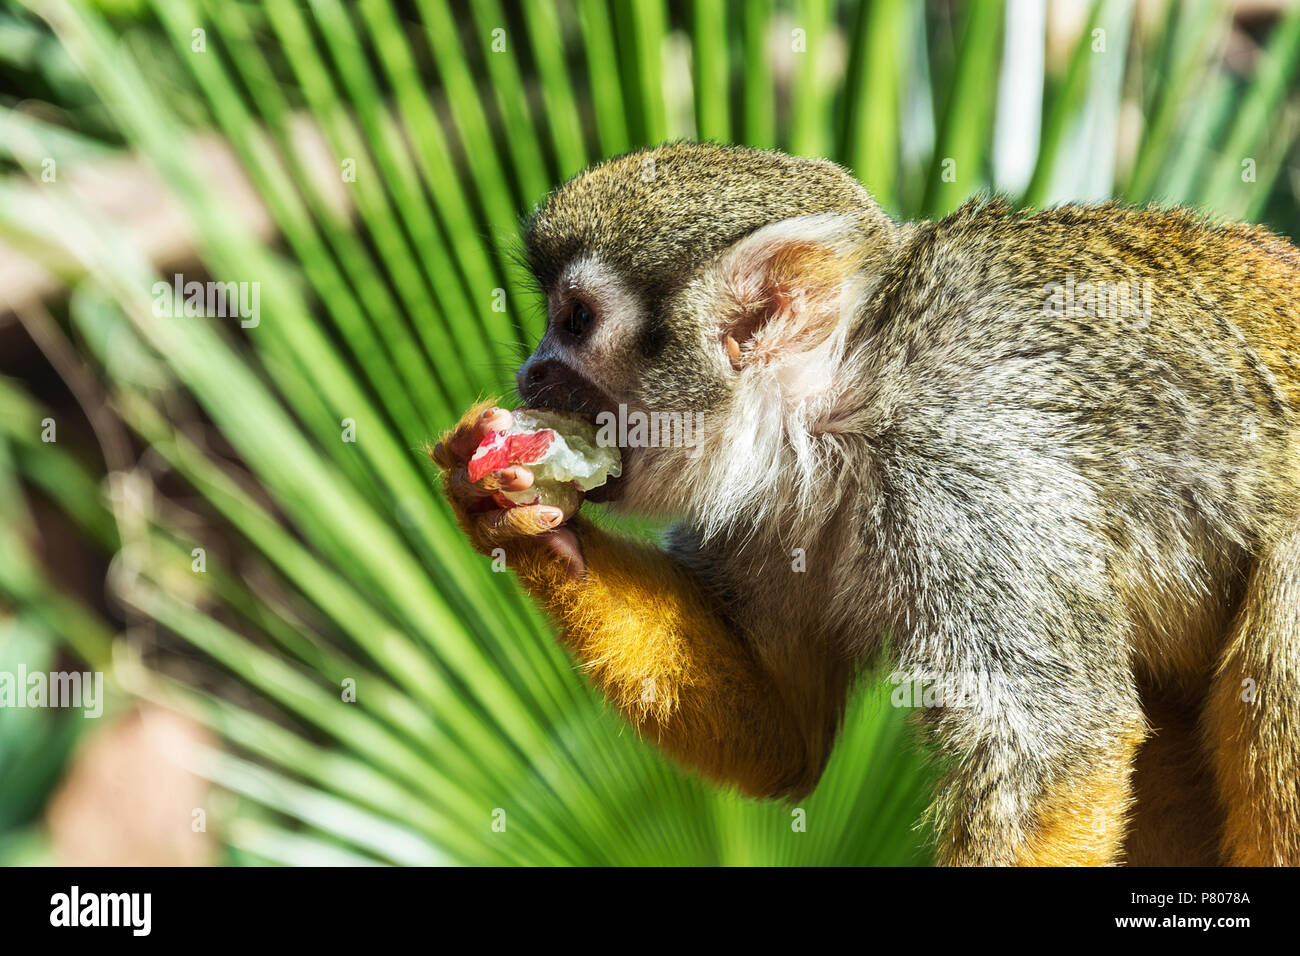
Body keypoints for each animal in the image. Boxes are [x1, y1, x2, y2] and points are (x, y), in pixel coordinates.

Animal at [430, 142, 1300, 866]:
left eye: (575, 322)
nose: (531, 373)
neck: (846, 401)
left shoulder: (969, 467)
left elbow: (1056, 746)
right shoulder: (772, 505)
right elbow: (783, 732)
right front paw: (517, 514)